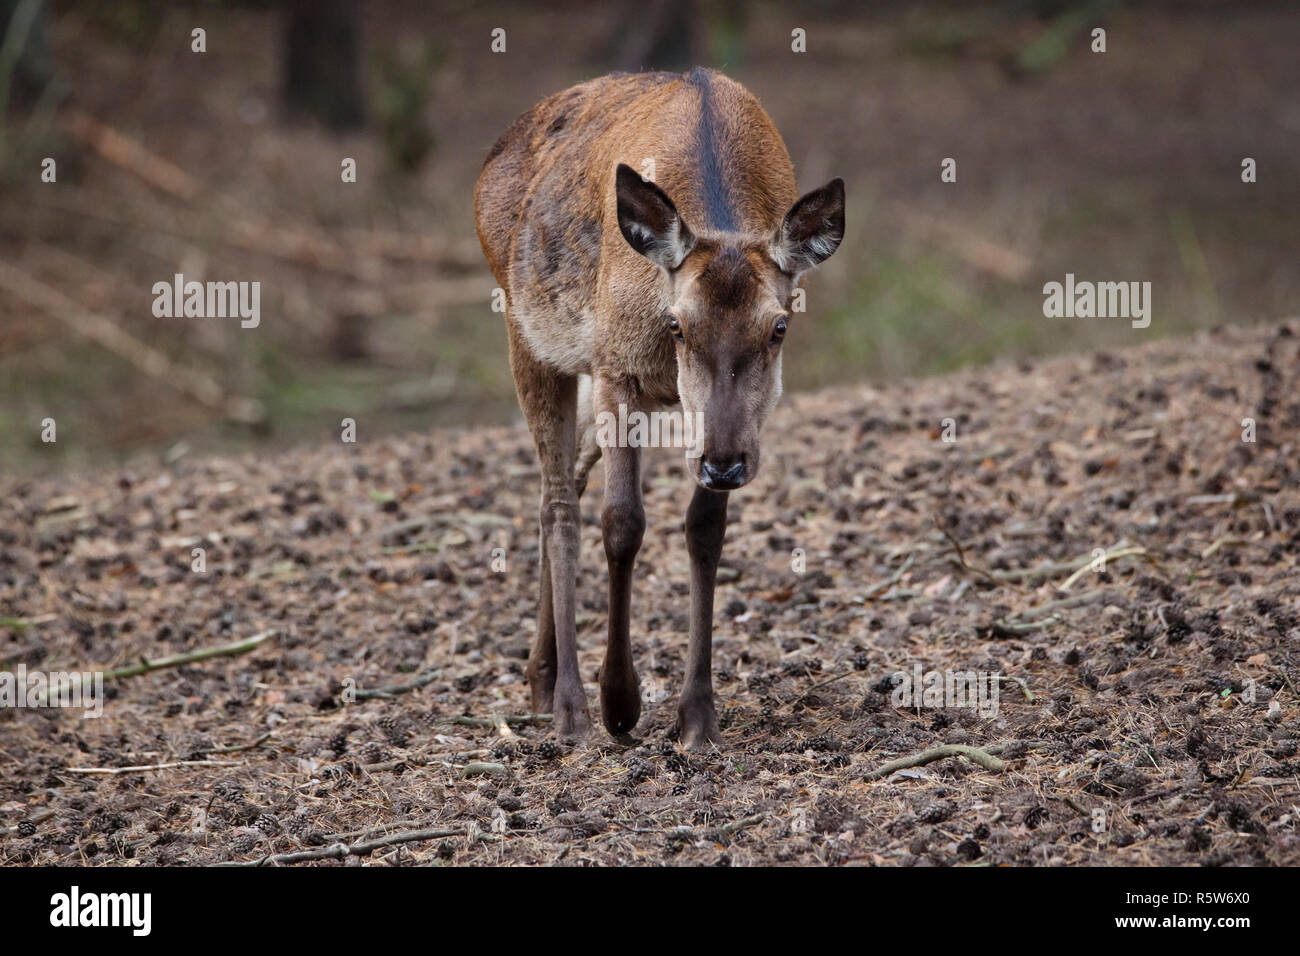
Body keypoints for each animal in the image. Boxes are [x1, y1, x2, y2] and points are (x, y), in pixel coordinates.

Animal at [474, 67, 844, 749]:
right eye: (677, 326)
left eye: (779, 329)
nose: (725, 465)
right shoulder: (616, 367)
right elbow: (622, 522)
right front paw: (620, 702)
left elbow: (704, 531)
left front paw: (697, 715)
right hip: (528, 333)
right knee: (559, 503)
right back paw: (568, 707)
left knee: (563, 482)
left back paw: (539, 680)